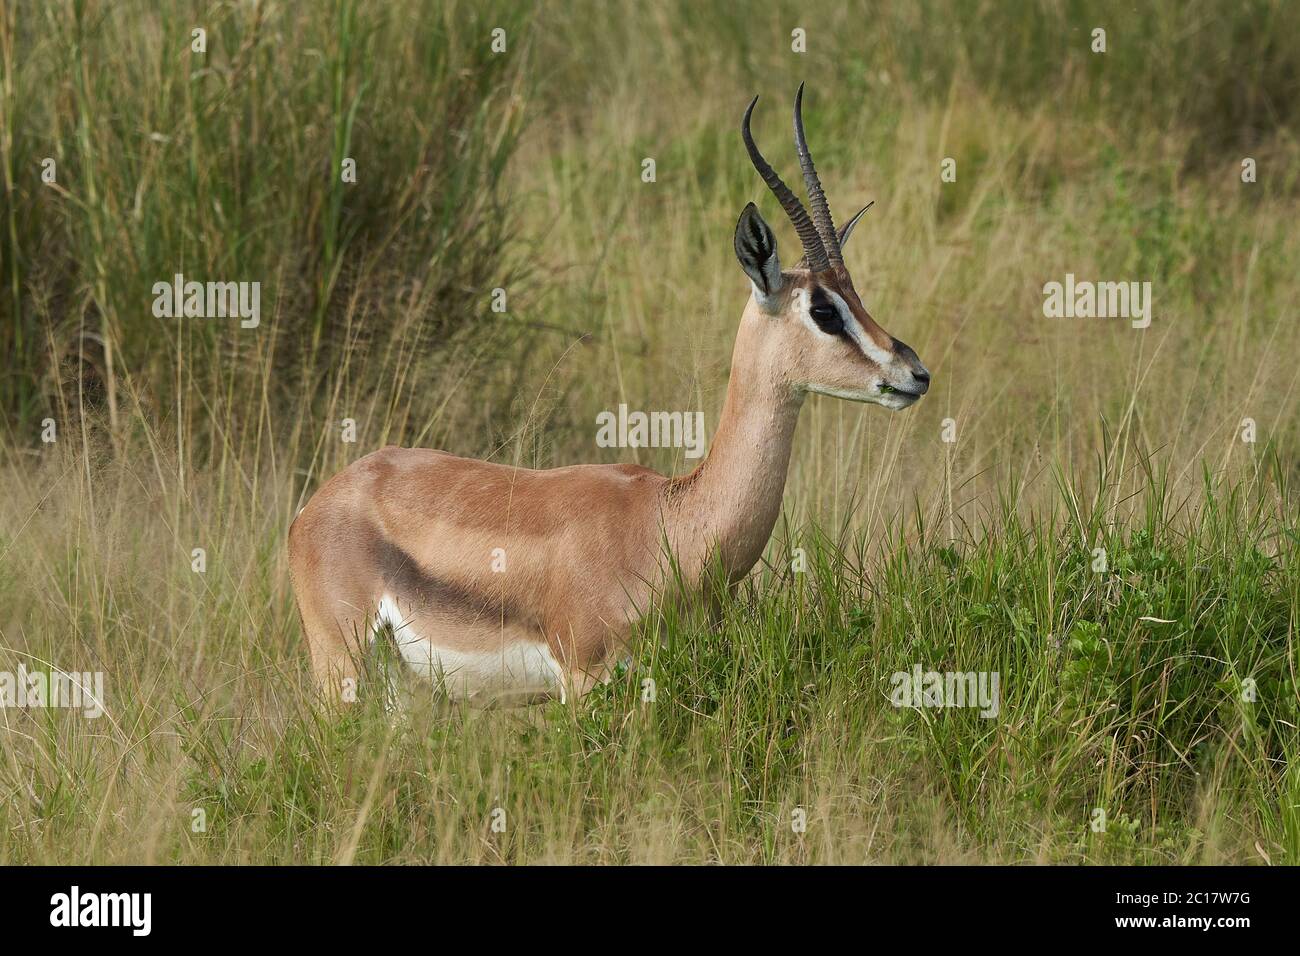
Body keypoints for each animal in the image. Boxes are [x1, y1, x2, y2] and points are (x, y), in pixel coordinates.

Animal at [288, 85, 930, 707]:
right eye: (823, 310)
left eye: (857, 296)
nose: (915, 372)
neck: (672, 517)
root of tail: (320, 501)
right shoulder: (583, 680)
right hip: (341, 672)